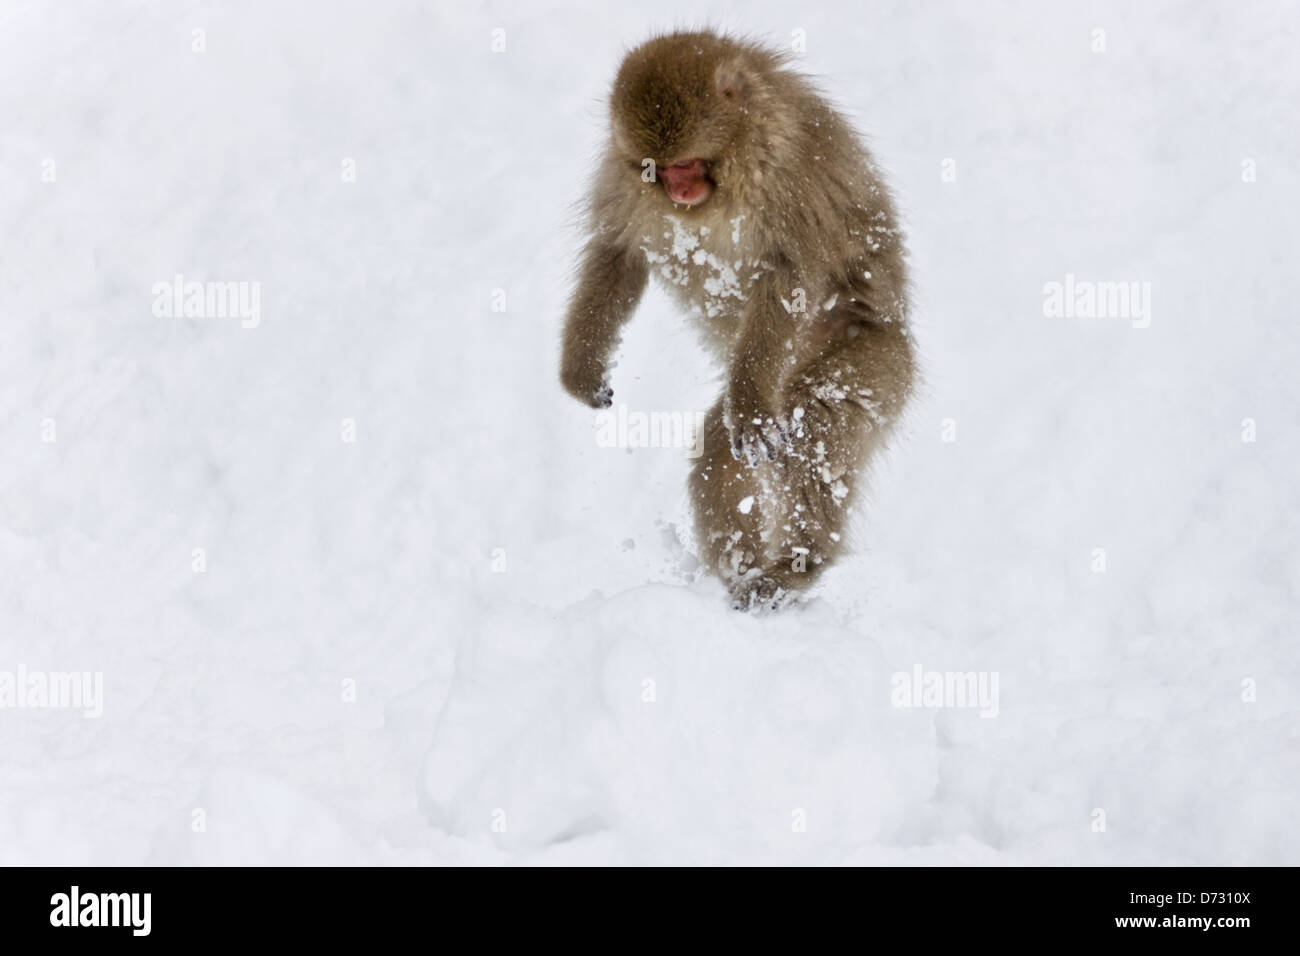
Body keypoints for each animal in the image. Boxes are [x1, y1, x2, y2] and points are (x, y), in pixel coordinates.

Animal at [560, 30, 916, 611]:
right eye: (660, 168)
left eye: (689, 163)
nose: (680, 192)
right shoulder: (622, 177)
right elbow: (618, 254)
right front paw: (582, 368)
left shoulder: (790, 173)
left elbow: (790, 279)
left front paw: (748, 404)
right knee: (718, 457)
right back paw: (743, 572)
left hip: (873, 363)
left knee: (813, 423)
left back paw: (795, 568)